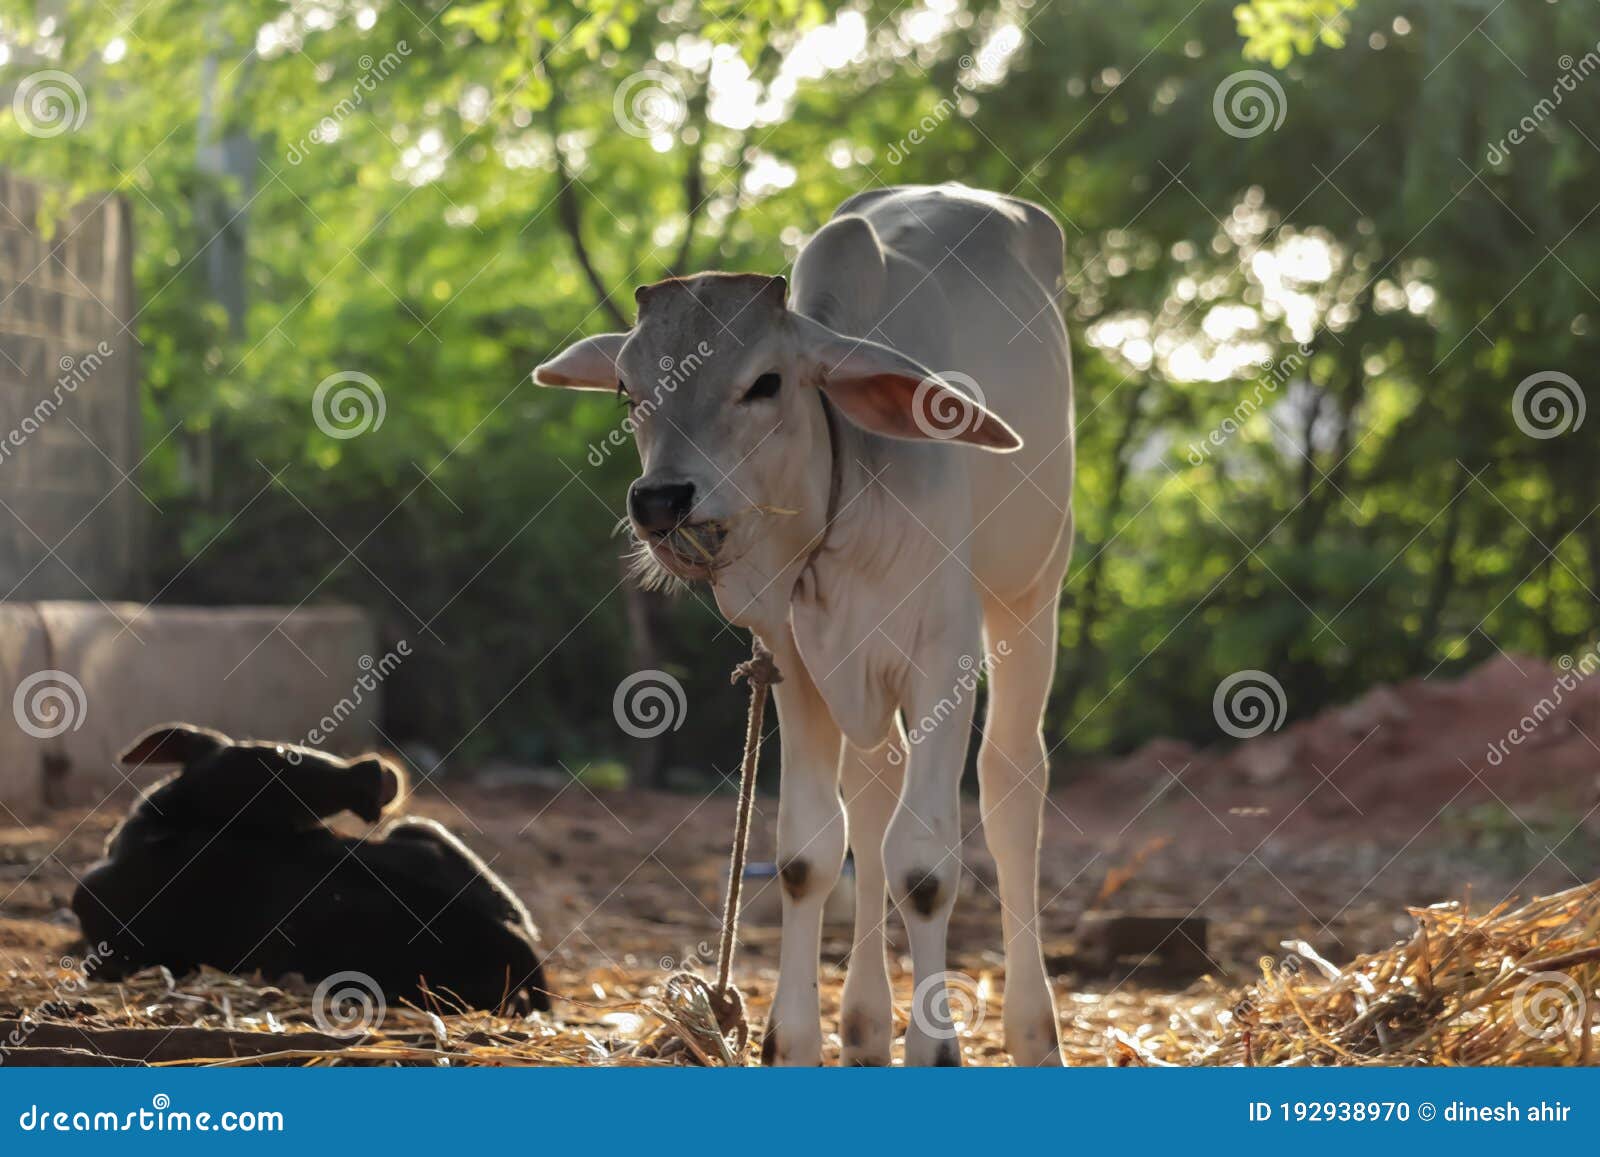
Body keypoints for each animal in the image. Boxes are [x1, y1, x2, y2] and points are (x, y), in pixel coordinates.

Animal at [537, 183, 1073, 1065]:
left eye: (767, 382)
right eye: (627, 390)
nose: (660, 500)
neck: (849, 486)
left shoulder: (943, 656)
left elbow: (924, 866)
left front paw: (935, 1048)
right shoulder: (793, 662)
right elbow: (807, 855)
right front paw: (792, 1039)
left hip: (1032, 592)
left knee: (1010, 789)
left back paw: (1033, 1029)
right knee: (874, 790)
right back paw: (863, 1025)